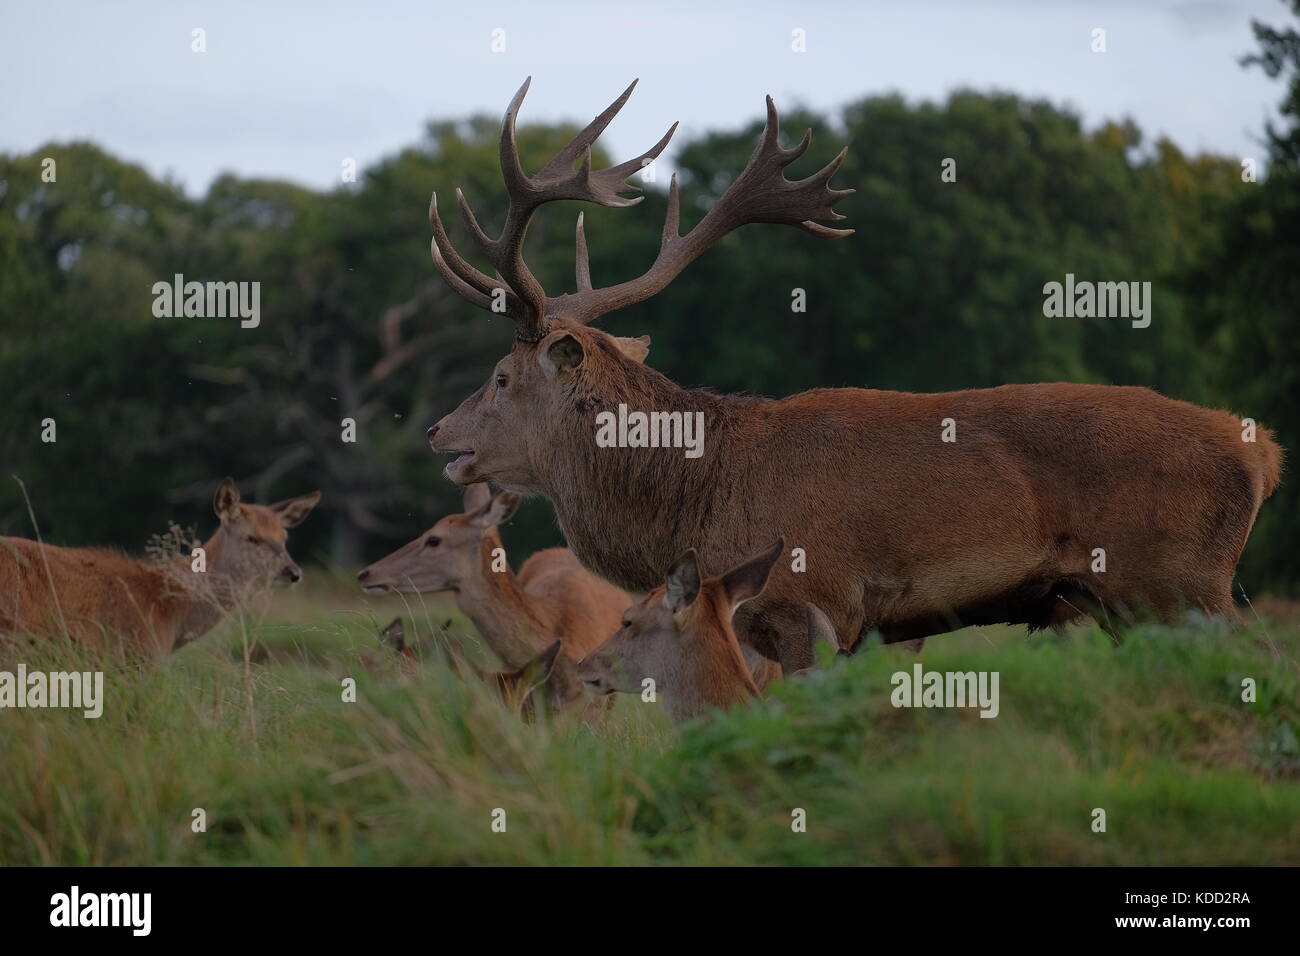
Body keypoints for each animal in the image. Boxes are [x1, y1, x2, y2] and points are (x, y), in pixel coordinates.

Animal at [423, 78, 1284, 674]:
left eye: (501, 377)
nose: (437, 430)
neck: (701, 500)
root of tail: (1262, 453)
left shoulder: (813, 600)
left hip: (1182, 581)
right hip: (1130, 599)